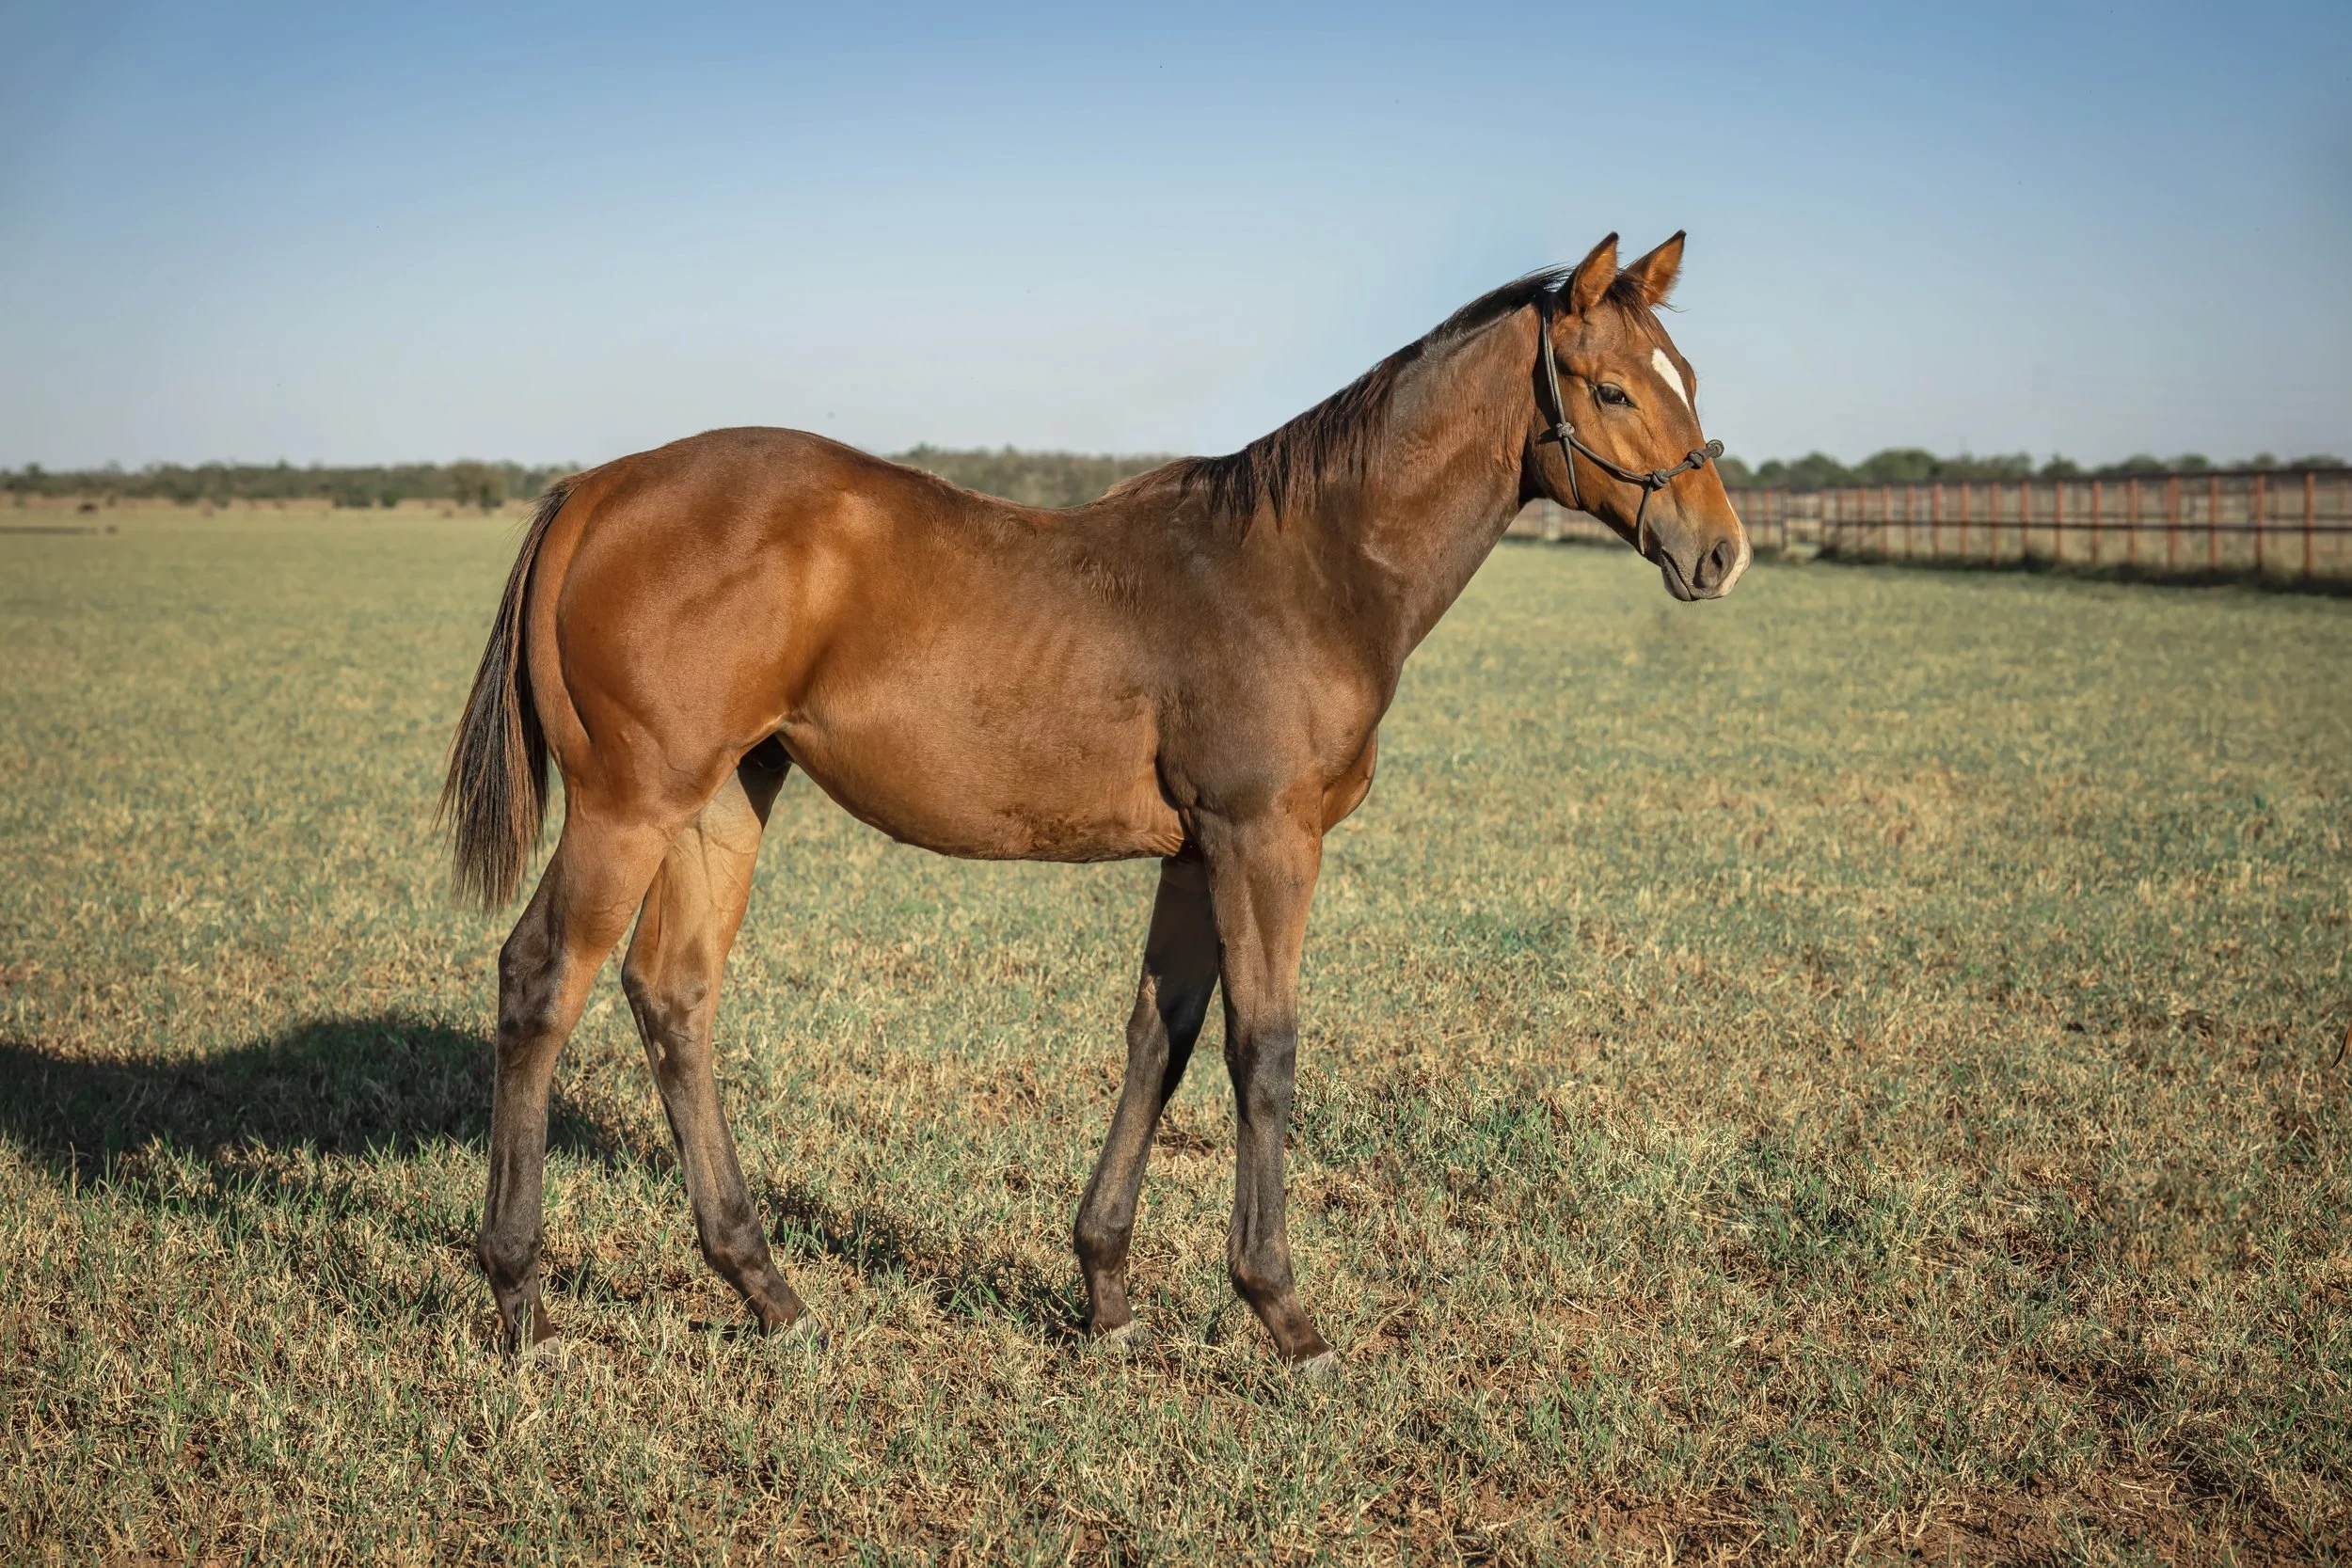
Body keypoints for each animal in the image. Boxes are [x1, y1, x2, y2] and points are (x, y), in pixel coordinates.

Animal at [440, 231, 1749, 1372]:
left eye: (1685, 378)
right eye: (1613, 390)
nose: (1721, 552)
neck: (1307, 566)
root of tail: (597, 488)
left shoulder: (1194, 852)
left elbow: (1158, 1038)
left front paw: (1107, 1294)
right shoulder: (1264, 840)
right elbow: (1263, 1050)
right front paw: (1284, 1314)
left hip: (721, 799)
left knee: (673, 994)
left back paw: (768, 1290)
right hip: (630, 803)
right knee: (539, 982)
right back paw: (523, 1300)